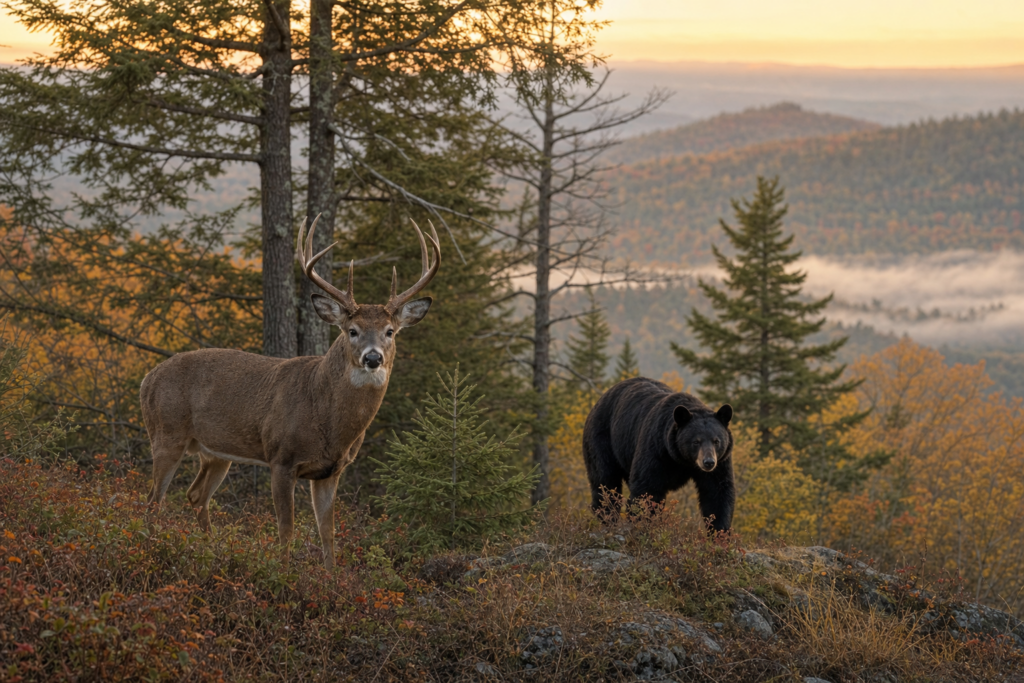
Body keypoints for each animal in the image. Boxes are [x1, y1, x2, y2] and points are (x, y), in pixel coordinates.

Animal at [140, 215, 440, 570]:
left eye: (390, 331)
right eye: (352, 331)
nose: (373, 358)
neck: (327, 420)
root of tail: (147, 379)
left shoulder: (331, 470)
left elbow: (328, 533)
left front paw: (332, 577)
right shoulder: (281, 458)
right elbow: (287, 527)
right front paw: (283, 574)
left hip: (215, 452)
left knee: (195, 495)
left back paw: (210, 552)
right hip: (166, 433)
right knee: (152, 500)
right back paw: (152, 549)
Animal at [582, 376, 735, 532]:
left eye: (716, 441)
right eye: (696, 441)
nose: (708, 462)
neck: (680, 459)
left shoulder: (720, 463)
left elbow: (717, 492)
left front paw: (720, 531)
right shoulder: (656, 449)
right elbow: (646, 488)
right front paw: (641, 523)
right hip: (603, 439)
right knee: (605, 481)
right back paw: (607, 517)